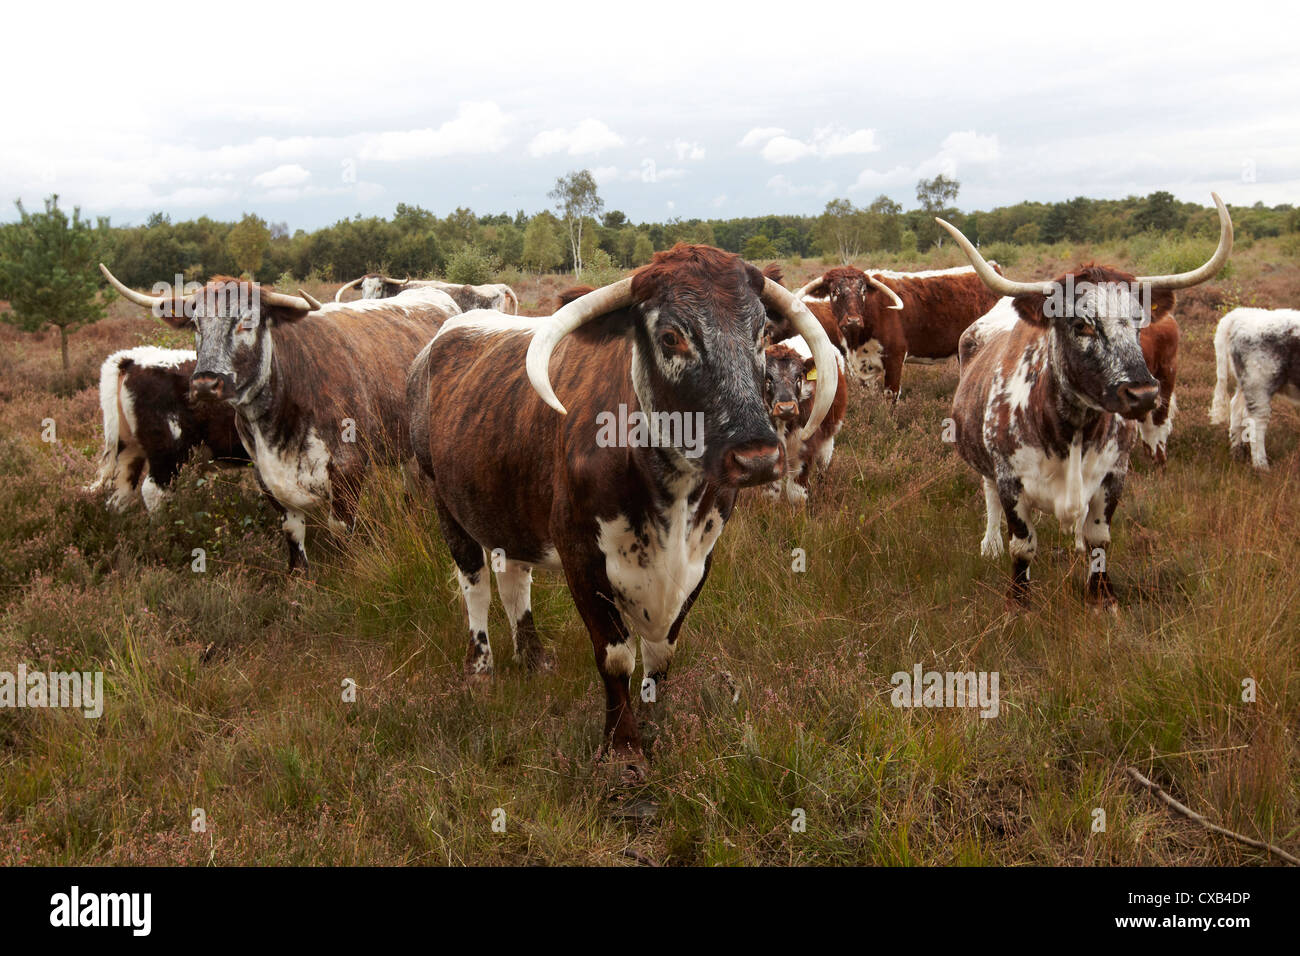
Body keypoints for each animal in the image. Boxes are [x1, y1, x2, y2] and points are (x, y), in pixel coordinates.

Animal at [405, 243, 839, 777]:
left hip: (507, 505)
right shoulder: (580, 555)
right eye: (671, 337)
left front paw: (656, 724)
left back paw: (533, 657)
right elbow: (615, 656)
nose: (757, 457)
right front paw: (623, 748)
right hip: (444, 501)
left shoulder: (699, 557)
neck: (669, 494)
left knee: (513, 580)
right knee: (476, 584)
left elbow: (661, 651)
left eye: (761, 332)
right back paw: (480, 666)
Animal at [762, 337, 848, 504]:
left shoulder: (804, 452)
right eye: (768, 378)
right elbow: (770, 493)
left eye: (798, 377)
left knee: (823, 466)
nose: (786, 408)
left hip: (828, 439)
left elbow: (797, 494)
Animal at [800, 264, 1002, 399]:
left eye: (863, 291)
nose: (853, 320)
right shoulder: (859, 366)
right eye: (834, 291)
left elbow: (890, 396)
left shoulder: (895, 358)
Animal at [944, 194, 1232, 606]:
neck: (1071, 429)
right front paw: (1019, 600)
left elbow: (1099, 538)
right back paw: (990, 543)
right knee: (989, 498)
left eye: (1139, 320)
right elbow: (1023, 545)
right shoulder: (1009, 480)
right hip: (984, 463)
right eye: (1081, 324)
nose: (1144, 393)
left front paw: (1101, 594)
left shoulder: (1115, 475)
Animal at [1210, 307, 1300, 470]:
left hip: (1245, 382)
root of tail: (1242, 313)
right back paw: (1261, 466)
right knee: (1257, 421)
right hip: (1258, 384)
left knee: (1236, 408)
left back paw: (1237, 453)